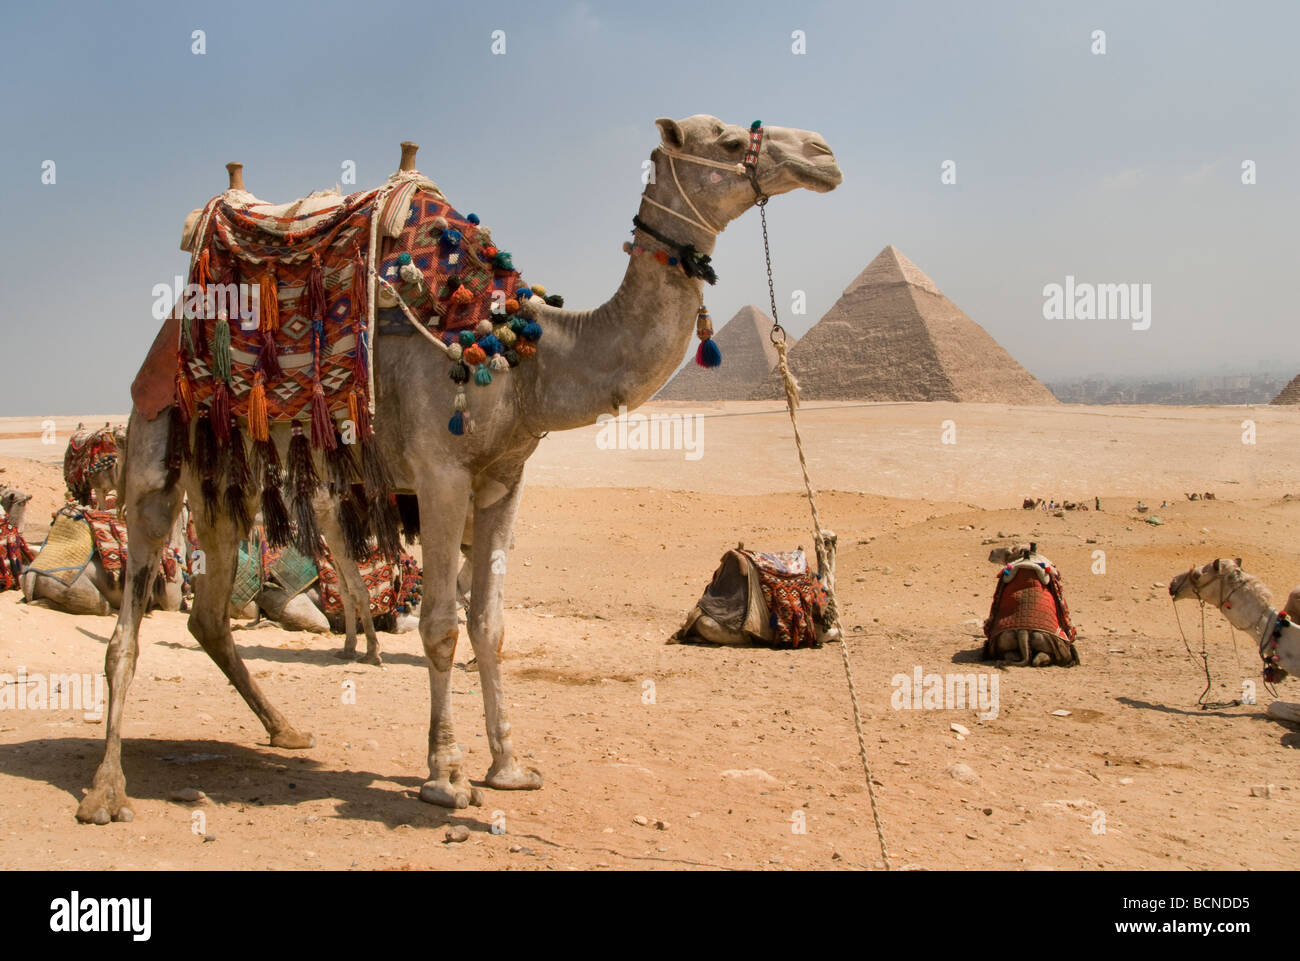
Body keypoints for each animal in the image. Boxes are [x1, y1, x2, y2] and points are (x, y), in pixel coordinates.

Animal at [74, 114, 842, 823]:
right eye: (724, 138)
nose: (824, 153)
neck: (523, 354)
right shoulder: (440, 472)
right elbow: (441, 622)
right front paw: (446, 775)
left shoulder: (503, 479)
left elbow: (490, 624)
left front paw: (510, 766)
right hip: (156, 449)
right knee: (126, 627)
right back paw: (106, 791)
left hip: (224, 479)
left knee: (207, 616)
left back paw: (285, 730)